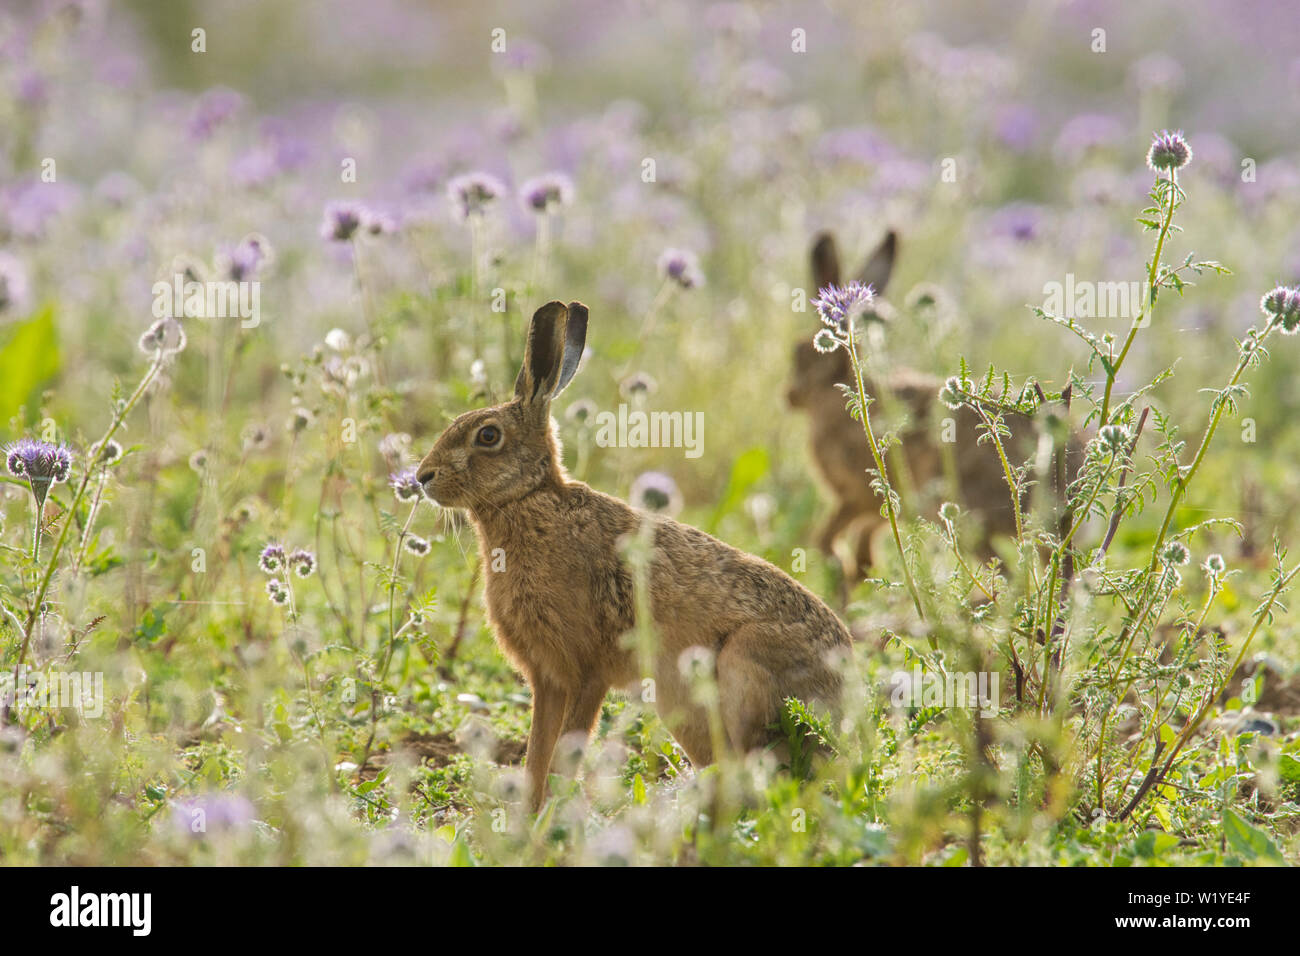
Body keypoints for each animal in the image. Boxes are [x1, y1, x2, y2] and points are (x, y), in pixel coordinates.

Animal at [418, 300, 851, 810]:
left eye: (488, 436)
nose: (422, 477)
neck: (528, 499)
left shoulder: (587, 670)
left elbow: (565, 754)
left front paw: (550, 816)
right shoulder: (548, 678)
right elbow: (537, 756)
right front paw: (529, 814)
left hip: (741, 666)